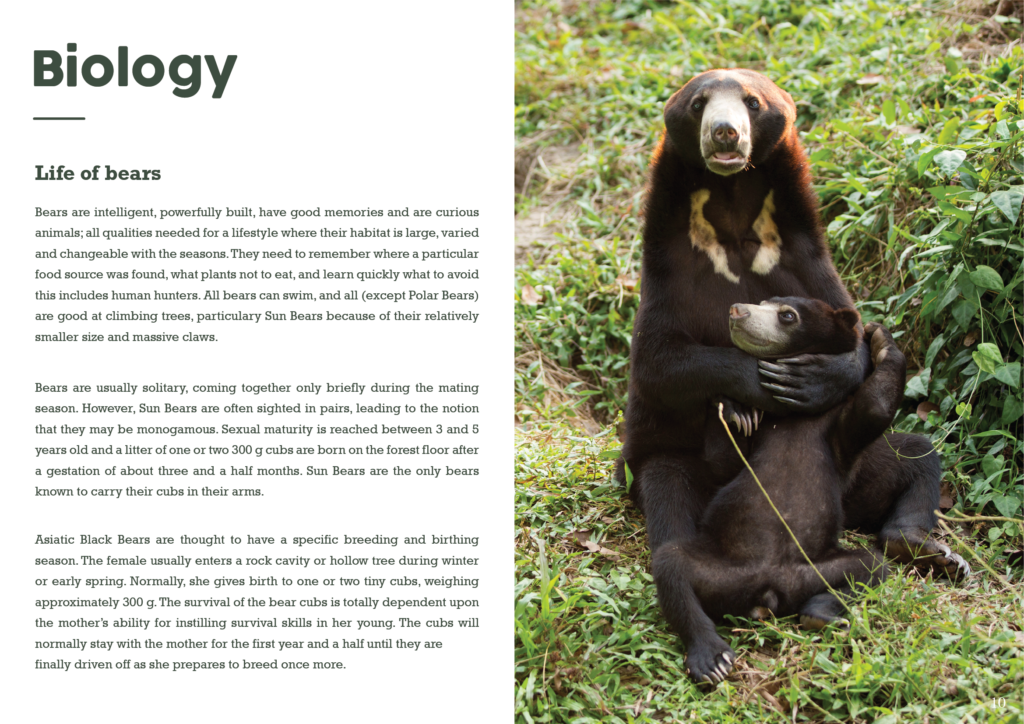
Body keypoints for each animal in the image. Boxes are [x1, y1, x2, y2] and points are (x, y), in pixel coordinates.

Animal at [677, 297, 900, 685]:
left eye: (787, 315)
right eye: (762, 302)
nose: (737, 309)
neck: (794, 417)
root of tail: (770, 592)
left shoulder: (839, 431)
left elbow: (874, 408)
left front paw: (881, 339)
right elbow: (721, 462)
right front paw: (735, 407)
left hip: (815, 570)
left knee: (871, 567)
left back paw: (819, 614)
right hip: (724, 572)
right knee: (673, 565)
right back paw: (711, 657)